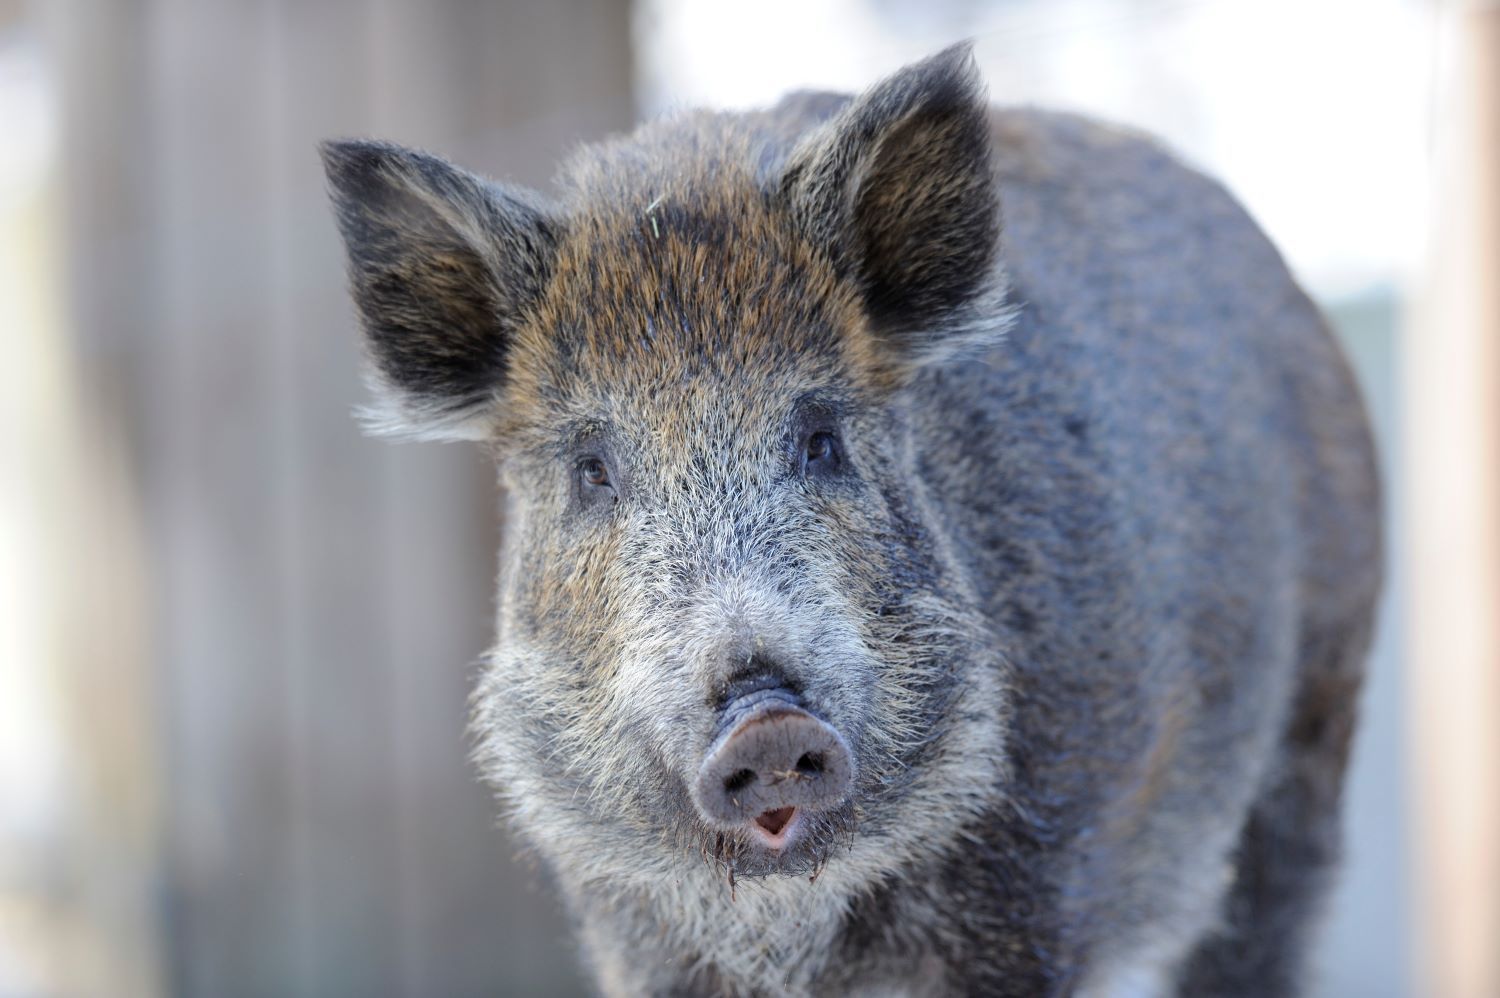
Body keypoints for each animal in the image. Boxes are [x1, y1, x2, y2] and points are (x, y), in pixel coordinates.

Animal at [321, 44, 1381, 997]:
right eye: (592, 471)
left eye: (822, 438)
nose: (764, 721)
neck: (787, 931)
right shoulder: (631, 929)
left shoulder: (1037, 893)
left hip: (1313, 734)